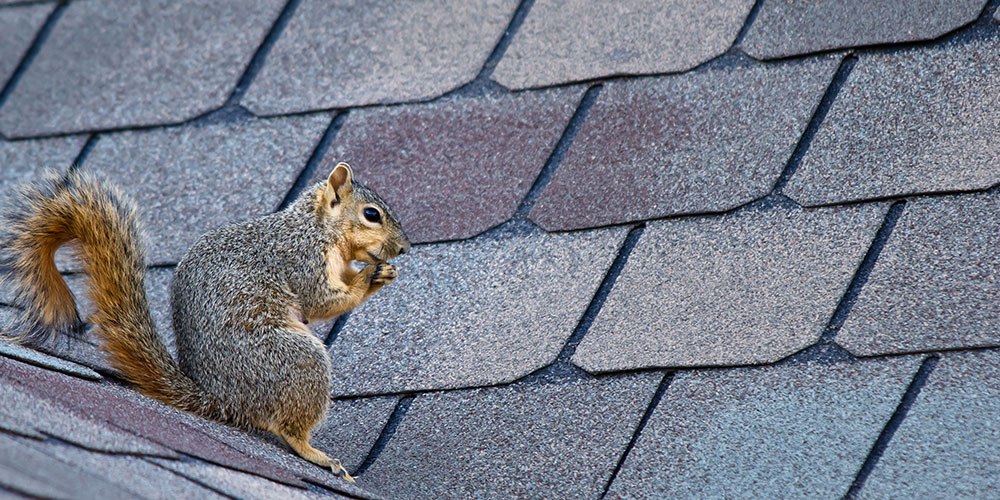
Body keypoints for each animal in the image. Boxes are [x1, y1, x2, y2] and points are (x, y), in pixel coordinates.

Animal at [0, 162, 409, 482]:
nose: (404, 248)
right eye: (372, 214)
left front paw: (380, 272)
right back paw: (316, 453)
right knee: (288, 427)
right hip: (294, 358)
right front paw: (368, 278)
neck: (317, 226)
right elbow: (320, 299)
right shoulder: (300, 258)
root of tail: (222, 399)